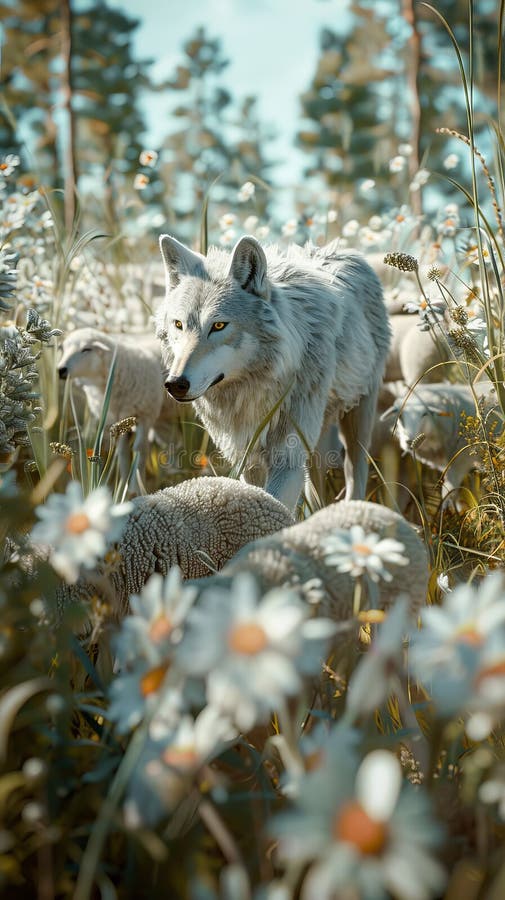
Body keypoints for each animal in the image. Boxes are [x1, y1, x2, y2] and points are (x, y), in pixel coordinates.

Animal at [57, 327, 178, 484]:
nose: (61, 370)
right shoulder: (117, 421)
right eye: (63, 349)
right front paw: (124, 483)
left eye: (86, 349)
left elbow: (139, 450)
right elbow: (122, 452)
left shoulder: (145, 415)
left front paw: (135, 485)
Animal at [155, 234, 391, 510]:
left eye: (219, 325)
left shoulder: (287, 459)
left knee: (356, 475)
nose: (176, 384)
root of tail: (340, 249)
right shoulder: (248, 458)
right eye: (178, 325)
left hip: (358, 418)